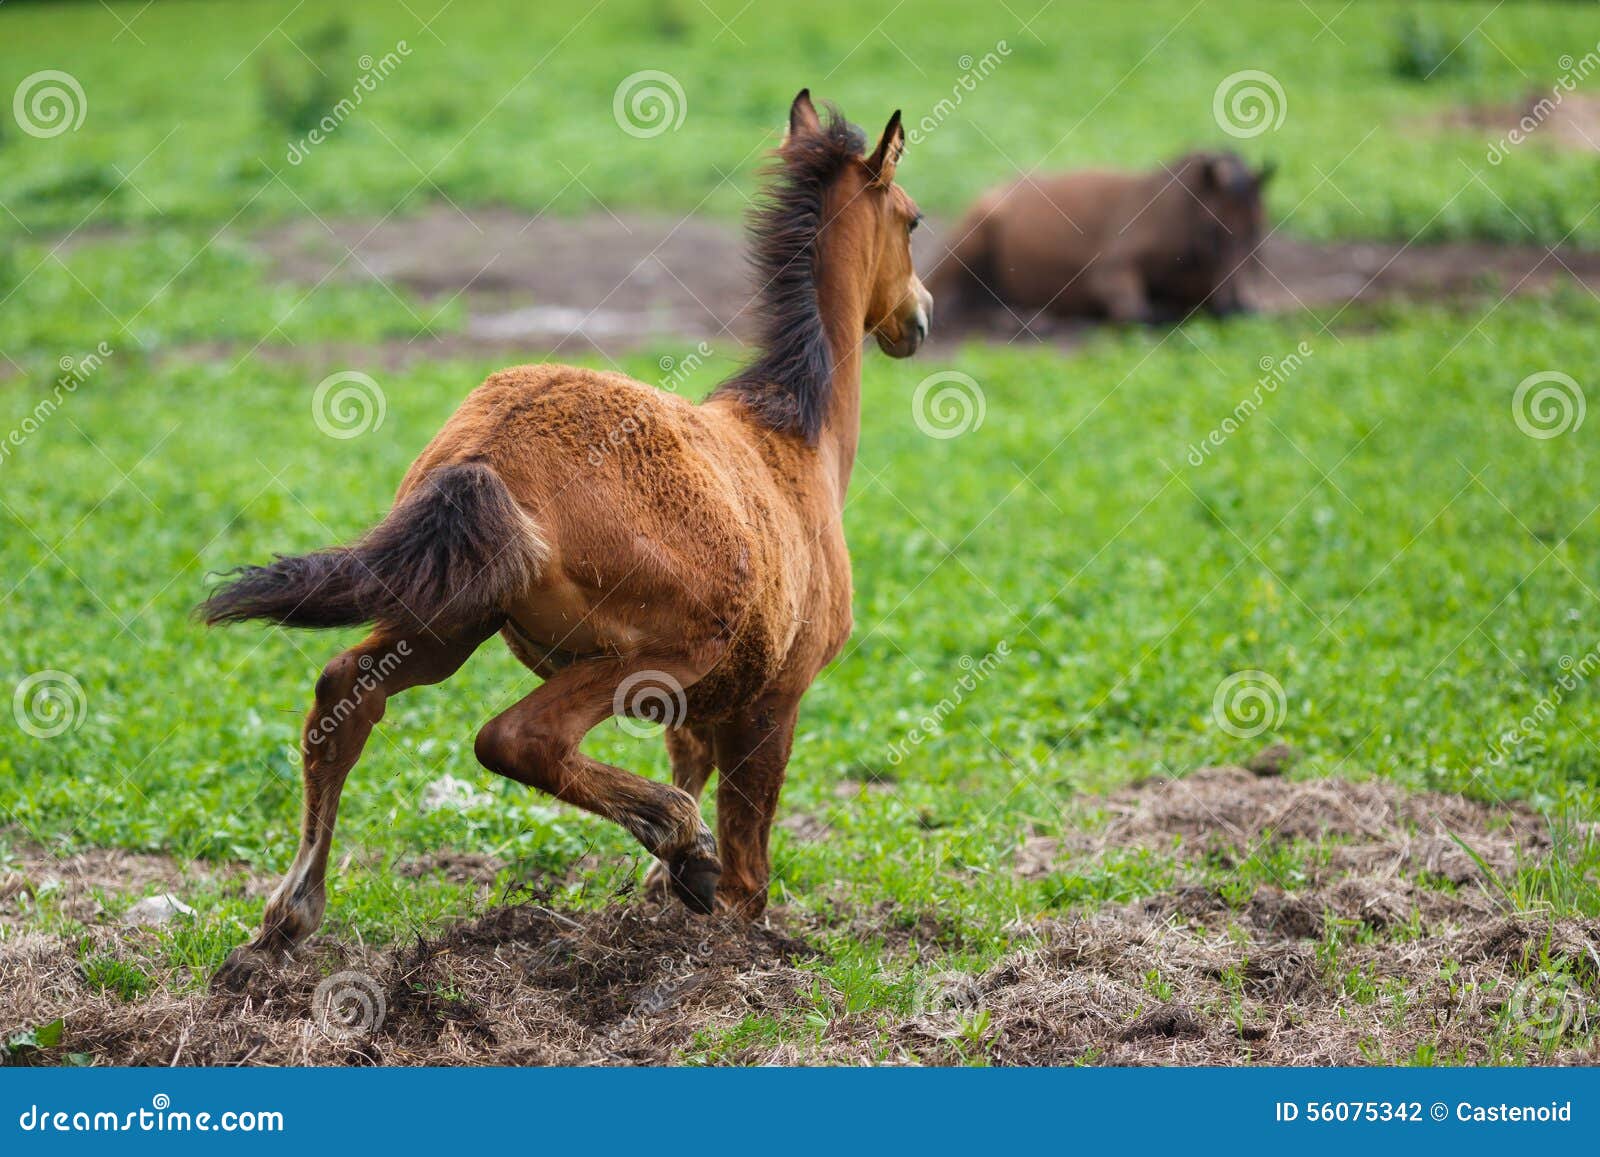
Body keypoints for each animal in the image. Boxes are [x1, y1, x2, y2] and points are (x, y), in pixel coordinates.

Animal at [200, 90, 932, 987]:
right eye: (914, 220)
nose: (919, 317)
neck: (795, 438)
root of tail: (483, 452)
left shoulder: (700, 707)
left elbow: (691, 767)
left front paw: (662, 897)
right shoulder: (772, 697)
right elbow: (750, 859)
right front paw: (724, 920)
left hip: (450, 617)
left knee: (344, 694)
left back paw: (280, 925)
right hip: (661, 643)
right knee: (519, 737)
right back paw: (679, 838)